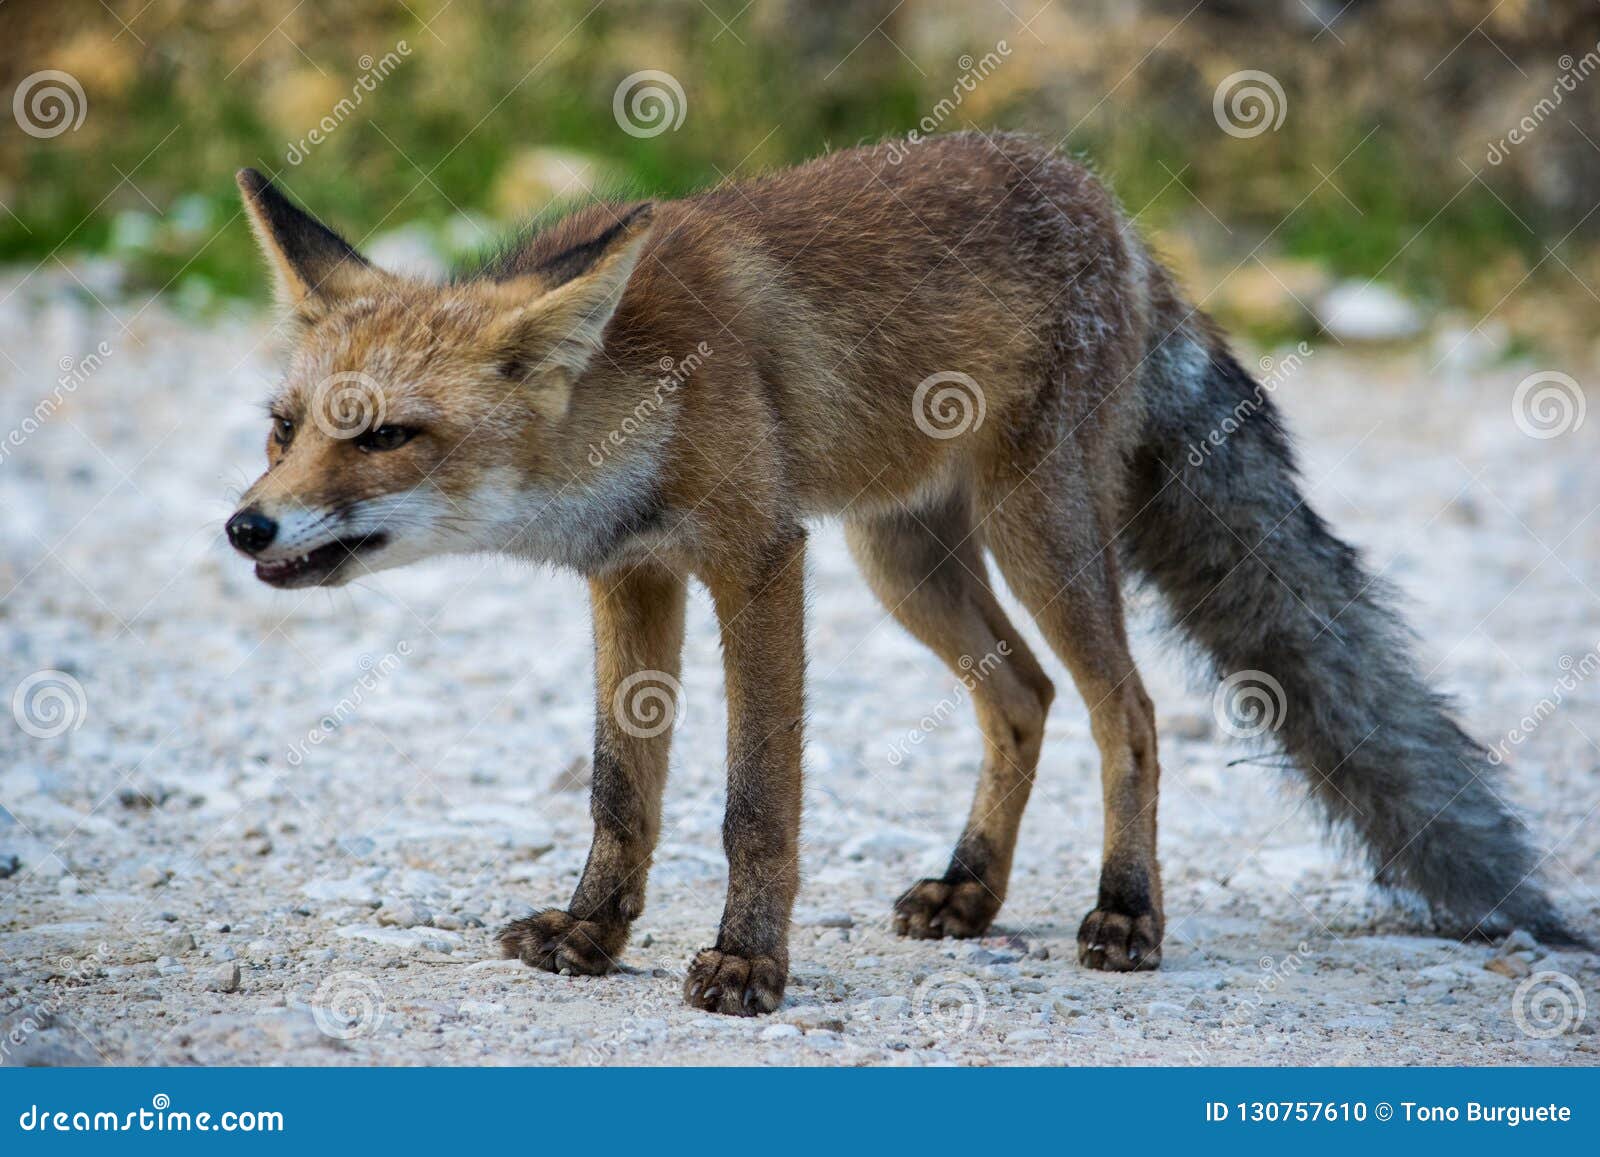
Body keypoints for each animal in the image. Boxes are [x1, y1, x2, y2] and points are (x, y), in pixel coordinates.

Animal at [226, 132, 1577, 1016]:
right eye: (281, 427)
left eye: (385, 435)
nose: (245, 526)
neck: (631, 405)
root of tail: (1114, 212)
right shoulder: (633, 576)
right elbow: (621, 791)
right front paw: (592, 932)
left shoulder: (758, 559)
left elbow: (755, 803)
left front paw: (746, 962)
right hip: (904, 560)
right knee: (1023, 696)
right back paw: (970, 891)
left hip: (1038, 534)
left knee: (1127, 710)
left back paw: (1127, 911)